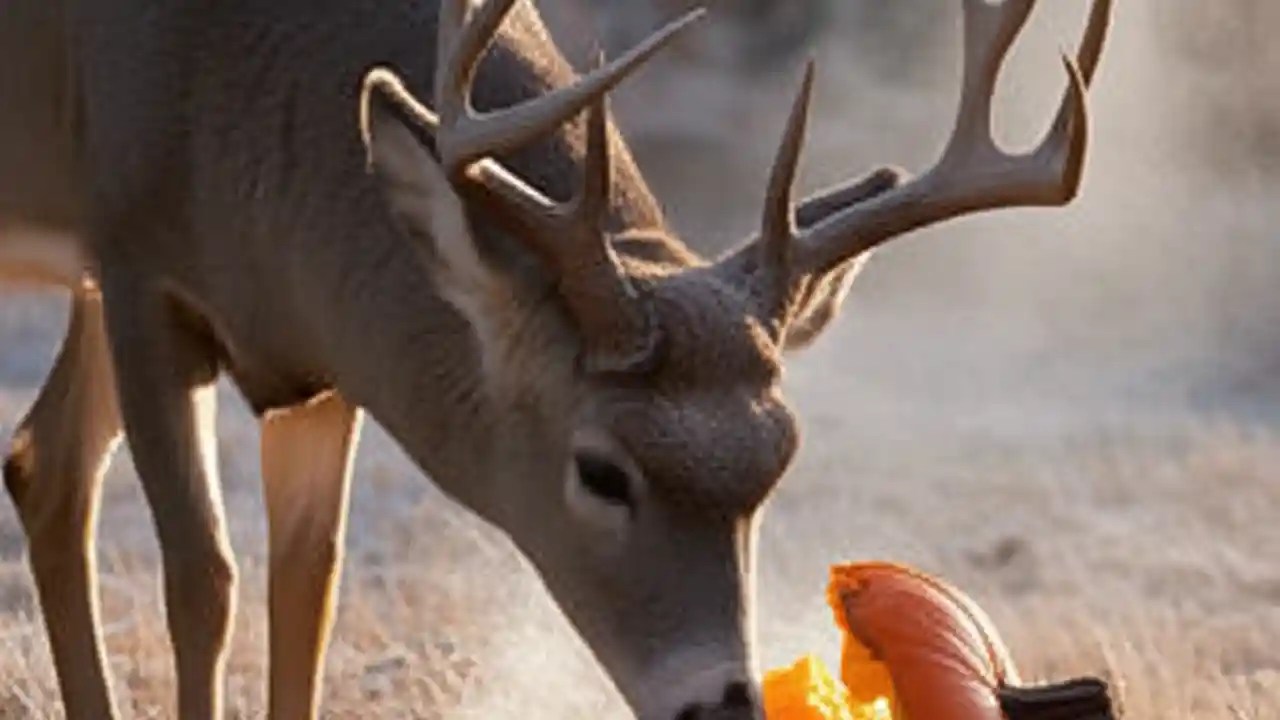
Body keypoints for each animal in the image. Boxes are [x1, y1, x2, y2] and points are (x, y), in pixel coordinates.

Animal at [0, 0, 1110, 718]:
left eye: (777, 463)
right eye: (600, 471)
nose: (719, 704)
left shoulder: (320, 349)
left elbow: (306, 586)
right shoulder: (137, 265)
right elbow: (204, 578)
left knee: (44, 462)